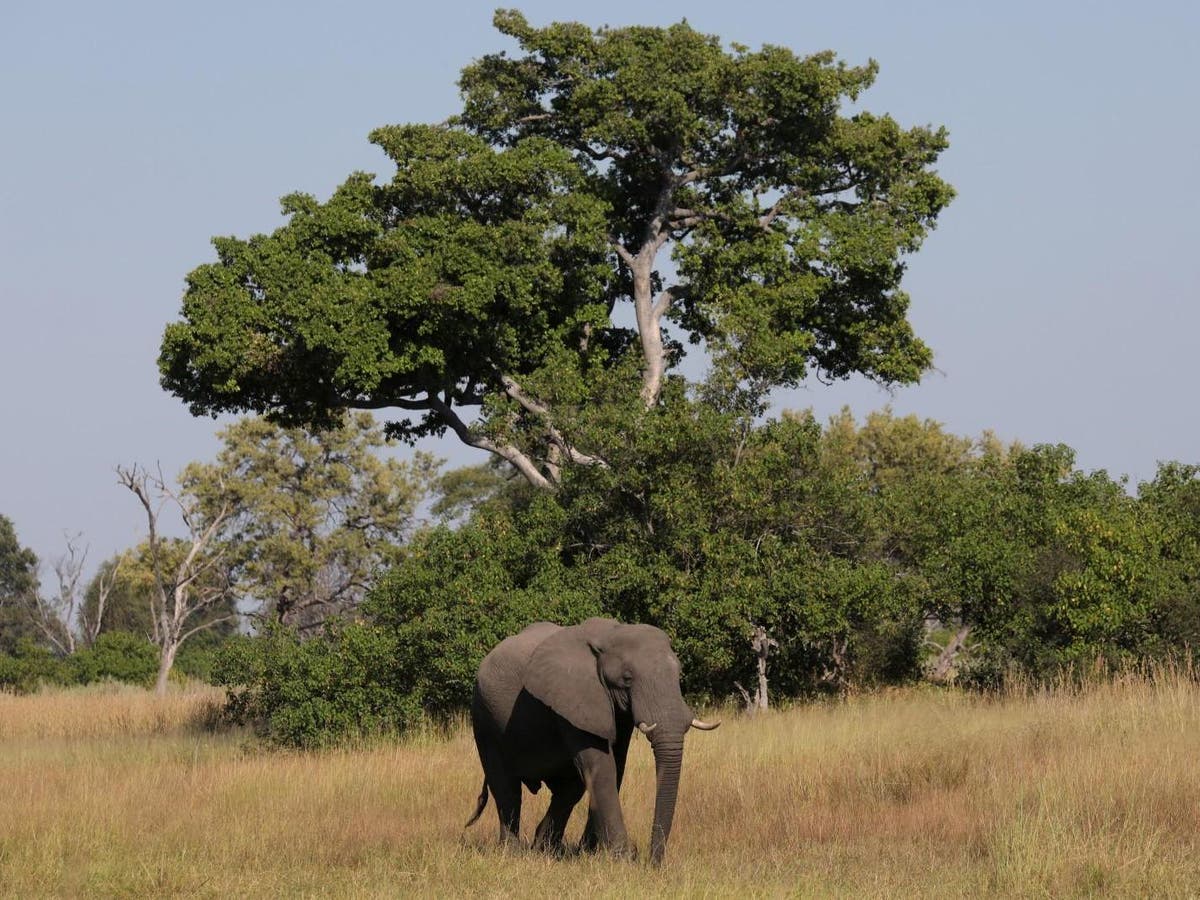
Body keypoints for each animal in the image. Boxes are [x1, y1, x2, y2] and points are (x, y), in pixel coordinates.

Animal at [465, 617, 718, 865]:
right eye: (627, 679)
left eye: (679, 673)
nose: (652, 863)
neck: (611, 633)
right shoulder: (575, 697)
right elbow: (602, 766)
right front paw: (622, 859)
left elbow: (616, 765)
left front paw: (591, 853)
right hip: (484, 715)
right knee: (506, 787)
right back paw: (513, 853)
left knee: (569, 789)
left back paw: (545, 850)